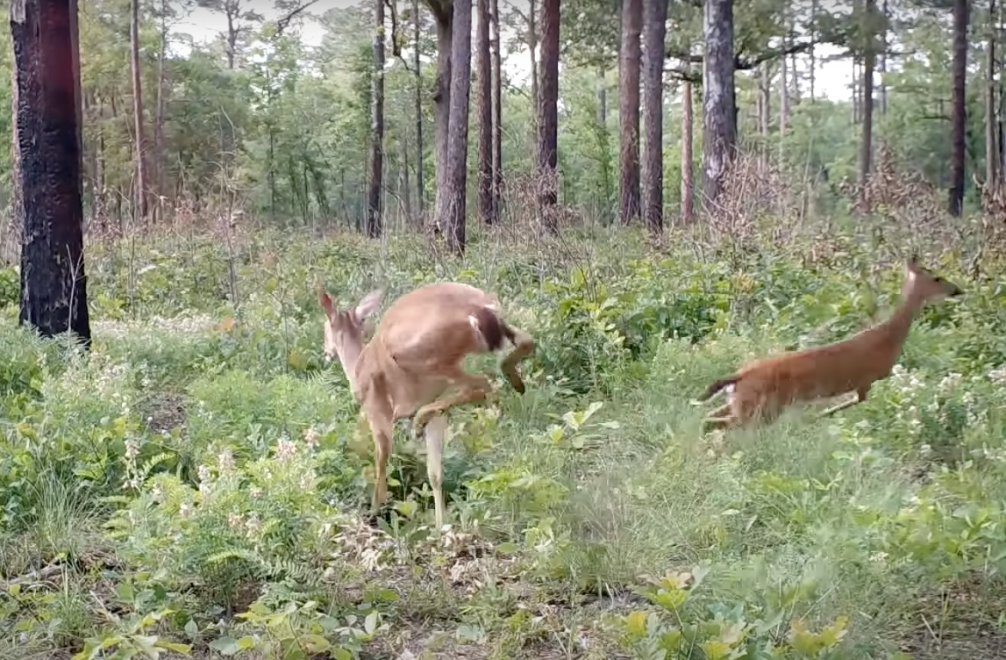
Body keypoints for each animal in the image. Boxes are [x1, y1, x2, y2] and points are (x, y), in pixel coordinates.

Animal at [317, 281, 535, 530]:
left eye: (325, 326)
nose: (326, 352)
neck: (357, 368)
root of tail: (477, 310)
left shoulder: (376, 409)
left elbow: (381, 459)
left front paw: (374, 514)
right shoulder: (434, 417)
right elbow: (435, 472)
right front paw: (440, 527)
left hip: (421, 356)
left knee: (483, 383)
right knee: (525, 341)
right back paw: (514, 381)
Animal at [696, 256, 963, 432]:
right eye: (937, 277)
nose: (957, 290)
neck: (889, 338)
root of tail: (739, 375)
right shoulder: (869, 378)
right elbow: (850, 403)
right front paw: (817, 418)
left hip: (740, 403)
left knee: (709, 419)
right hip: (759, 407)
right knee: (722, 427)